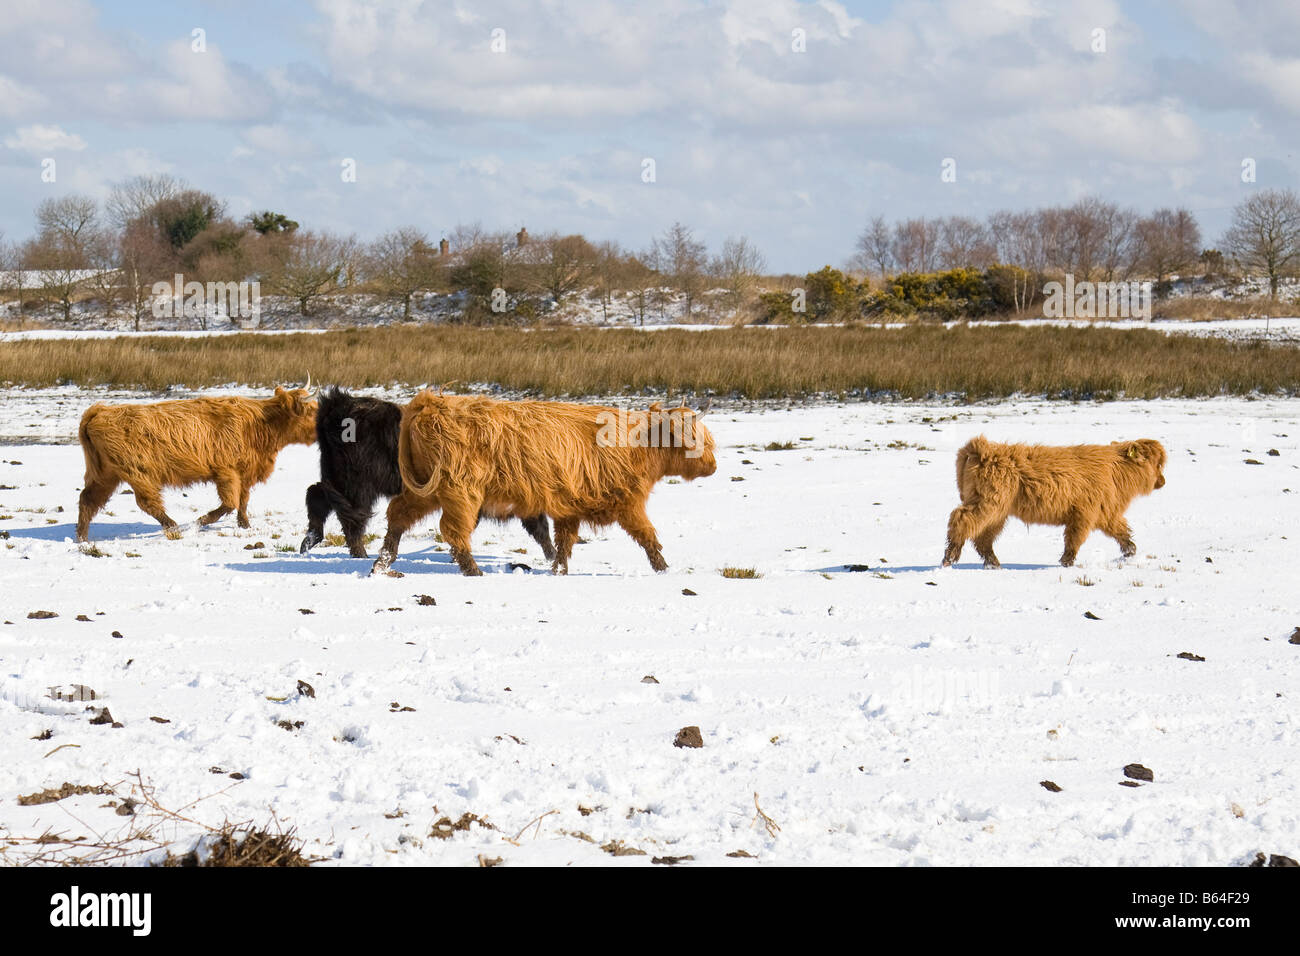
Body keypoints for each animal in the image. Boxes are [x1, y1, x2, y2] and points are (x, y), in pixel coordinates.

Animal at [75, 386, 318, 542]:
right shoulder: (227, 472)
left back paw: (82, 539)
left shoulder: (245, 471)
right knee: (147, 503)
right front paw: (199, 522)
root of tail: (100, 411)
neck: (259, 425)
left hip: (105, 474)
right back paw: (173, 527)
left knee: (88, 500)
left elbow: (243, 501)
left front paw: (245, 526)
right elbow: (230, 503)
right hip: (137, 472)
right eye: (312, 411)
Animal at [299, 387, 555, 559]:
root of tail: (337, 405)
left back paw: (309, 542)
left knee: (317, 496)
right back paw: (358, 554)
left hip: (337, 478)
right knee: (349, 518)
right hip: (357, 485)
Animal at [369, 392, 717, 577]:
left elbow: (563, 541)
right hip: (460, 492)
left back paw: (382, 565)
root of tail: (427, 402)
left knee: (398, 517)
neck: (637, 445)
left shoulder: (571, 505)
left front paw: (558, 570)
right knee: (454, 531)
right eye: (695, 439)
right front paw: (664, 568)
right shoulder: (628, 502)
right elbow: (647, 536)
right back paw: (473, 570)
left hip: (424, 489)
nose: (713, 466)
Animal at [941, 436, 1167, 569]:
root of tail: (979, 448)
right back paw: (949, 557)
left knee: (983, 538)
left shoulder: (1105, 513)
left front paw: (1130, 552)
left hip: (998, 512)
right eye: (1156, 463)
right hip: (987, 503)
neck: (1116, 472)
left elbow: (1122, 533)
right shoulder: (1084, 514)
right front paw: (1067, 562)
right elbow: (1074, 539)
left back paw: (993, 563)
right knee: (961, 520)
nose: (1163, 481)